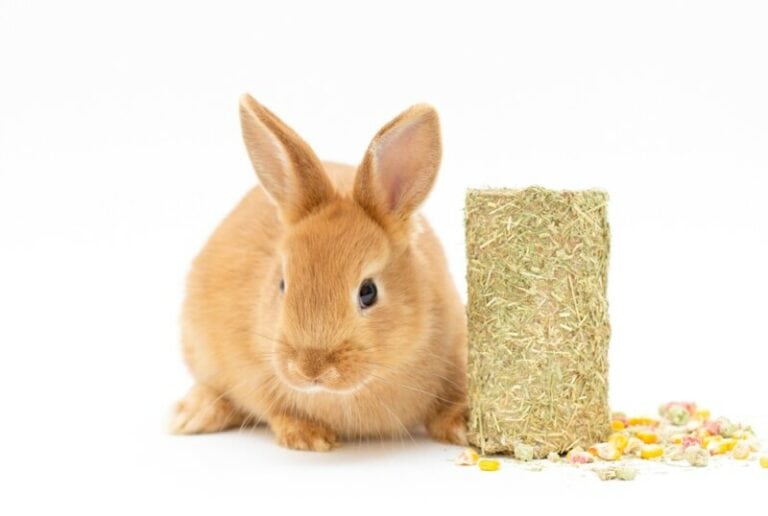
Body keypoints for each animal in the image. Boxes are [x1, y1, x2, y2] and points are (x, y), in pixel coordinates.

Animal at [169, 94, 467, 451]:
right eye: (282, 284)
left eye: (368, 291)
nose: (310, 369)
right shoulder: (252, 373)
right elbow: (274, 408)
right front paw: (309, 436)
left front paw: (463, 426)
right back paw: (191, 415)